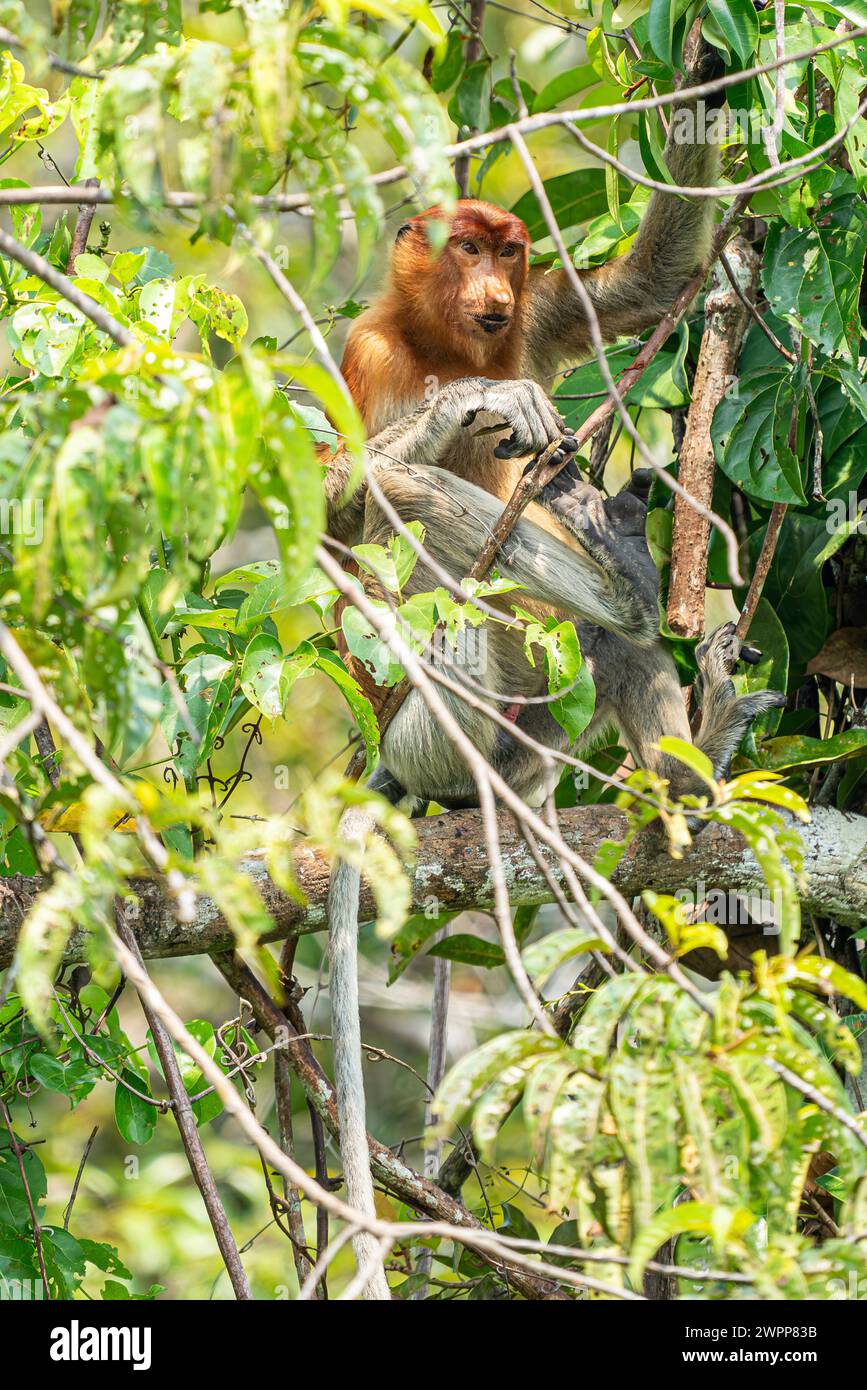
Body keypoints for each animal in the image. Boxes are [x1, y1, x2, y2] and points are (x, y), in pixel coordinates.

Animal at [320, 39, 784, 1297]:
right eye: (464, 245)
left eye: (511, 249)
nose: (492, 286)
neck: (444, 339)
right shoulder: (372, 351)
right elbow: (340, 512)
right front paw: (481, 406)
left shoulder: (540, 315)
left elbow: (638, 287)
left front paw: (709, 79)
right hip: (428, 721)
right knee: (431, 520)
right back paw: (616, 571)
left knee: (595, 638)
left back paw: (682, 756)